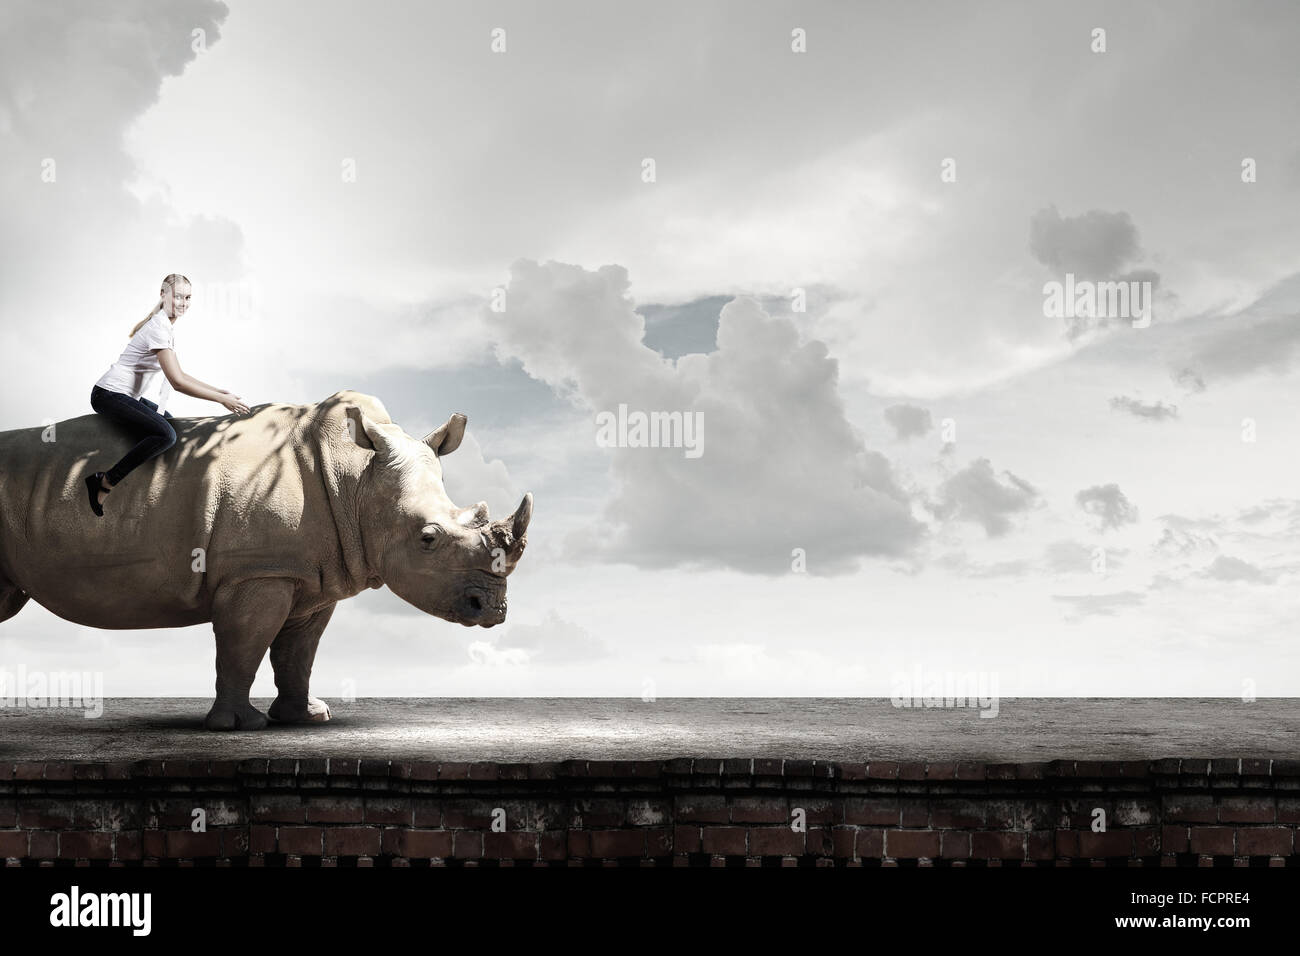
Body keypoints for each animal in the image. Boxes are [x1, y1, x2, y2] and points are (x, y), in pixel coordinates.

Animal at [0, 389, 531, 730]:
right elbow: (244, 644)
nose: (494, 610)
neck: (357, 479)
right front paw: (238, 726)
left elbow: (297, 653)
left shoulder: (312, 576)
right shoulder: (257, 572)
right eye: (428, 538)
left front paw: (308, 717)